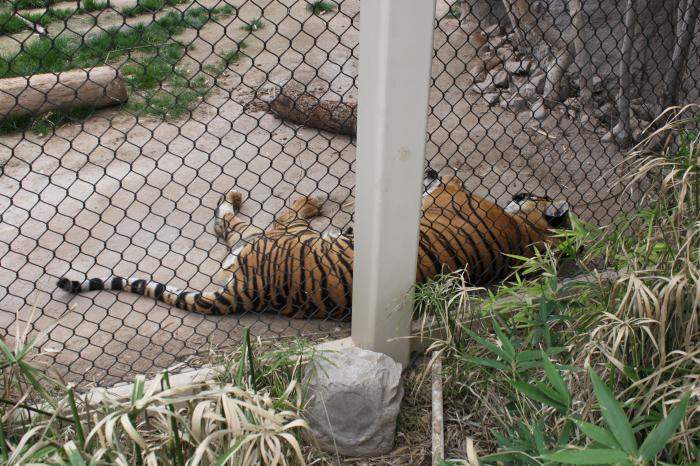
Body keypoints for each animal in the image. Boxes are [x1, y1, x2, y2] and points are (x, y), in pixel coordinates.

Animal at [57, 170, 570, 321]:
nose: (524, 189)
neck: (526, 233)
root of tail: (249, 292)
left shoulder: (448, 191)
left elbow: (441, 178)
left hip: (272, 234)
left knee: (234, 223)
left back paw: (259, 198)